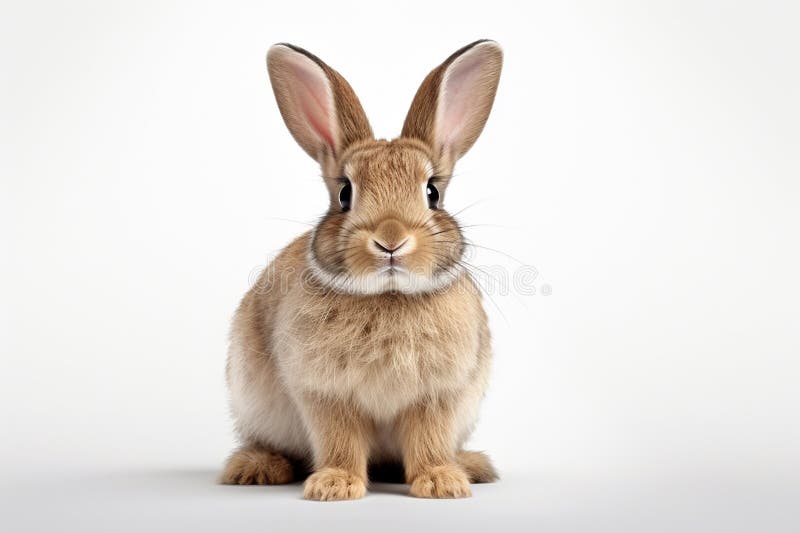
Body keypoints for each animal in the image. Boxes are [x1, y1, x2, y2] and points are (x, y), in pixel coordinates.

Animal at [221, 40, 503, 500]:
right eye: (344, 194)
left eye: (432, 192)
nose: (391, 239)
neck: (387, 295)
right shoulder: (326, 394)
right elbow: (340, 439)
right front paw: (335, 485)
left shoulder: (437, 396)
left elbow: (428, 439)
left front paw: (440, 483)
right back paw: (255, 468)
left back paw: (471, 465)